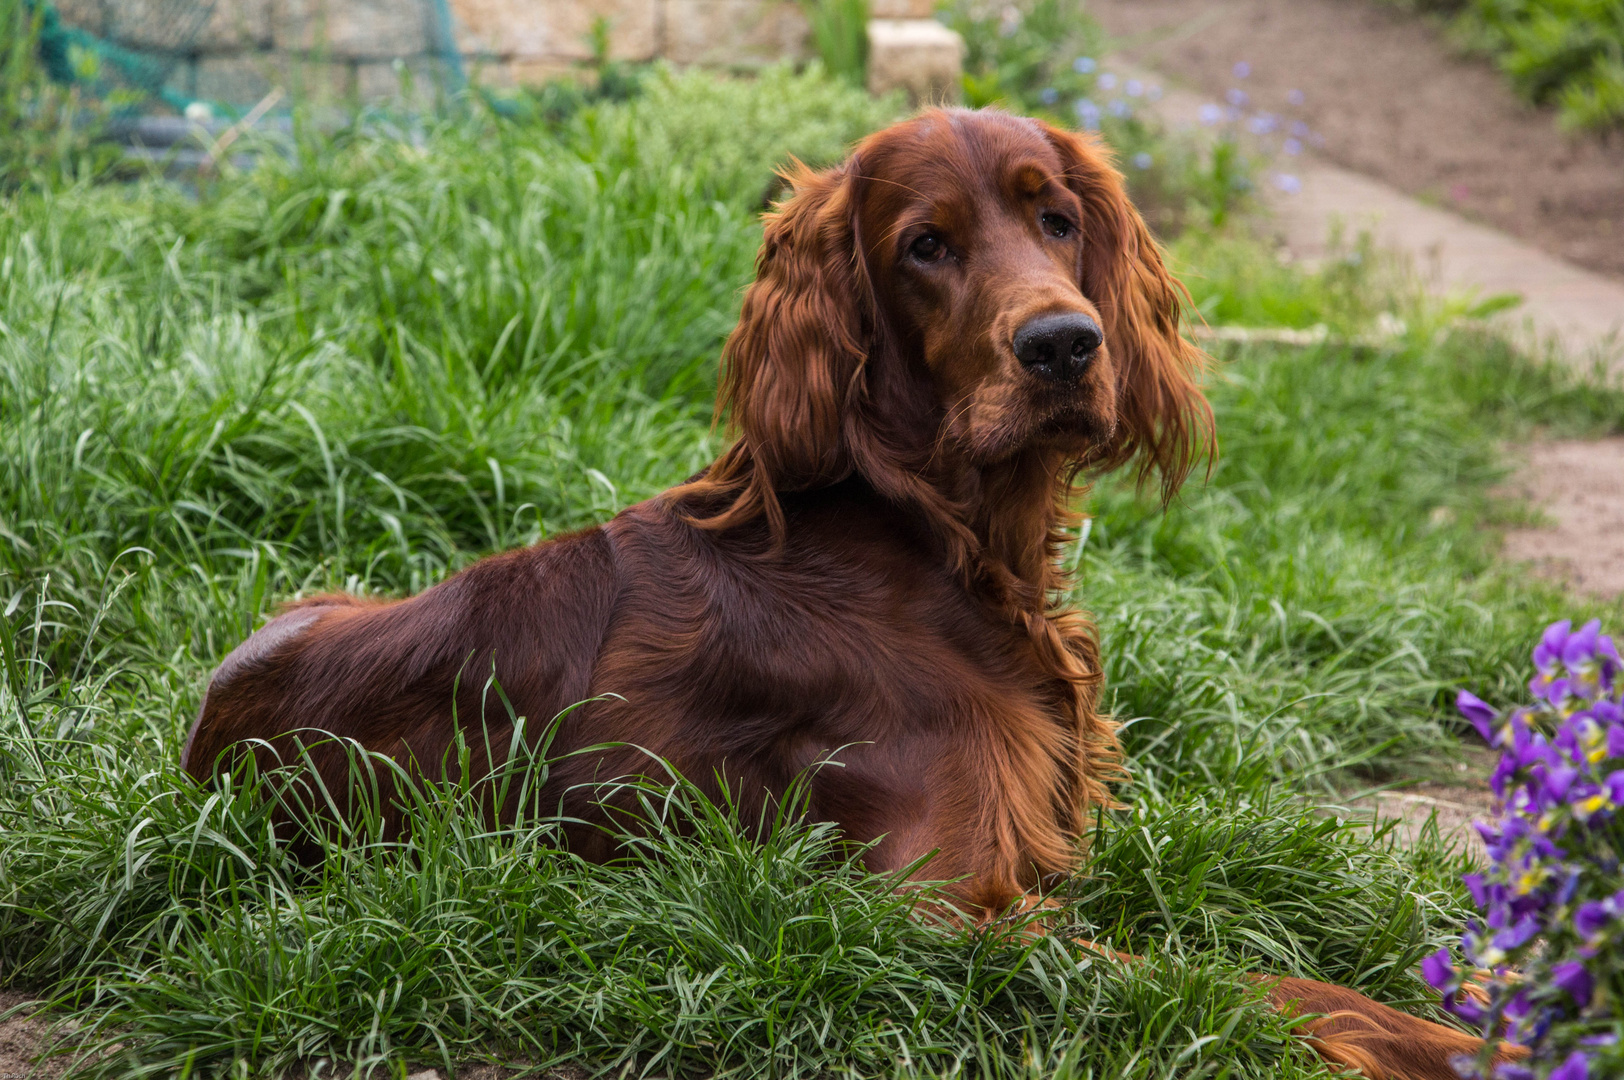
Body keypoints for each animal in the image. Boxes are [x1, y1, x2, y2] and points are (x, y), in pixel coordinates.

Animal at [186, 109, 1520, 1078]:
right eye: (924, 245)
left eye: (1056, 218)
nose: (1062, 345)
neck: (934, 544)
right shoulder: (930, 914)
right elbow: (1262, 988)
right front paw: (1470, 1046)